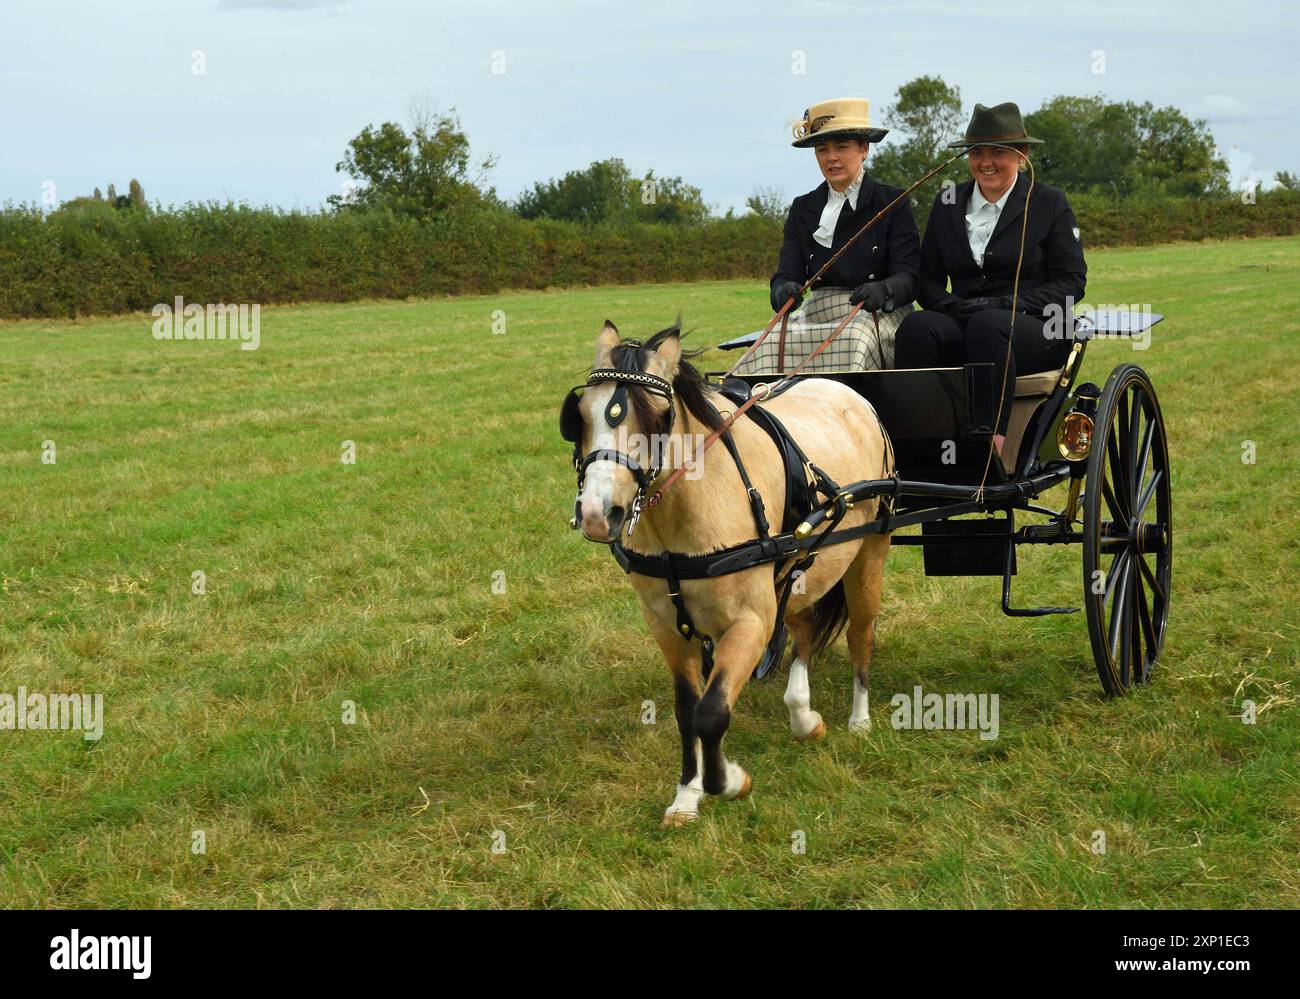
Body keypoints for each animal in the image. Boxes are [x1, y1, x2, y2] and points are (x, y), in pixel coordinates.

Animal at [564, 319, 893, 826]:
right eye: (579, 414)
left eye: (659, 417)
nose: (600, 514)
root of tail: (845, 388)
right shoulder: (668, 628)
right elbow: (687, 711)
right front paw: (687, 794)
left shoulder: (749, 623)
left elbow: (712, 713)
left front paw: (731, 782)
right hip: (799, 566)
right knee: (802, 627)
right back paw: (803, 715)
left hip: (870, 552)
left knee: (861, 634)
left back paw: (859, 720)